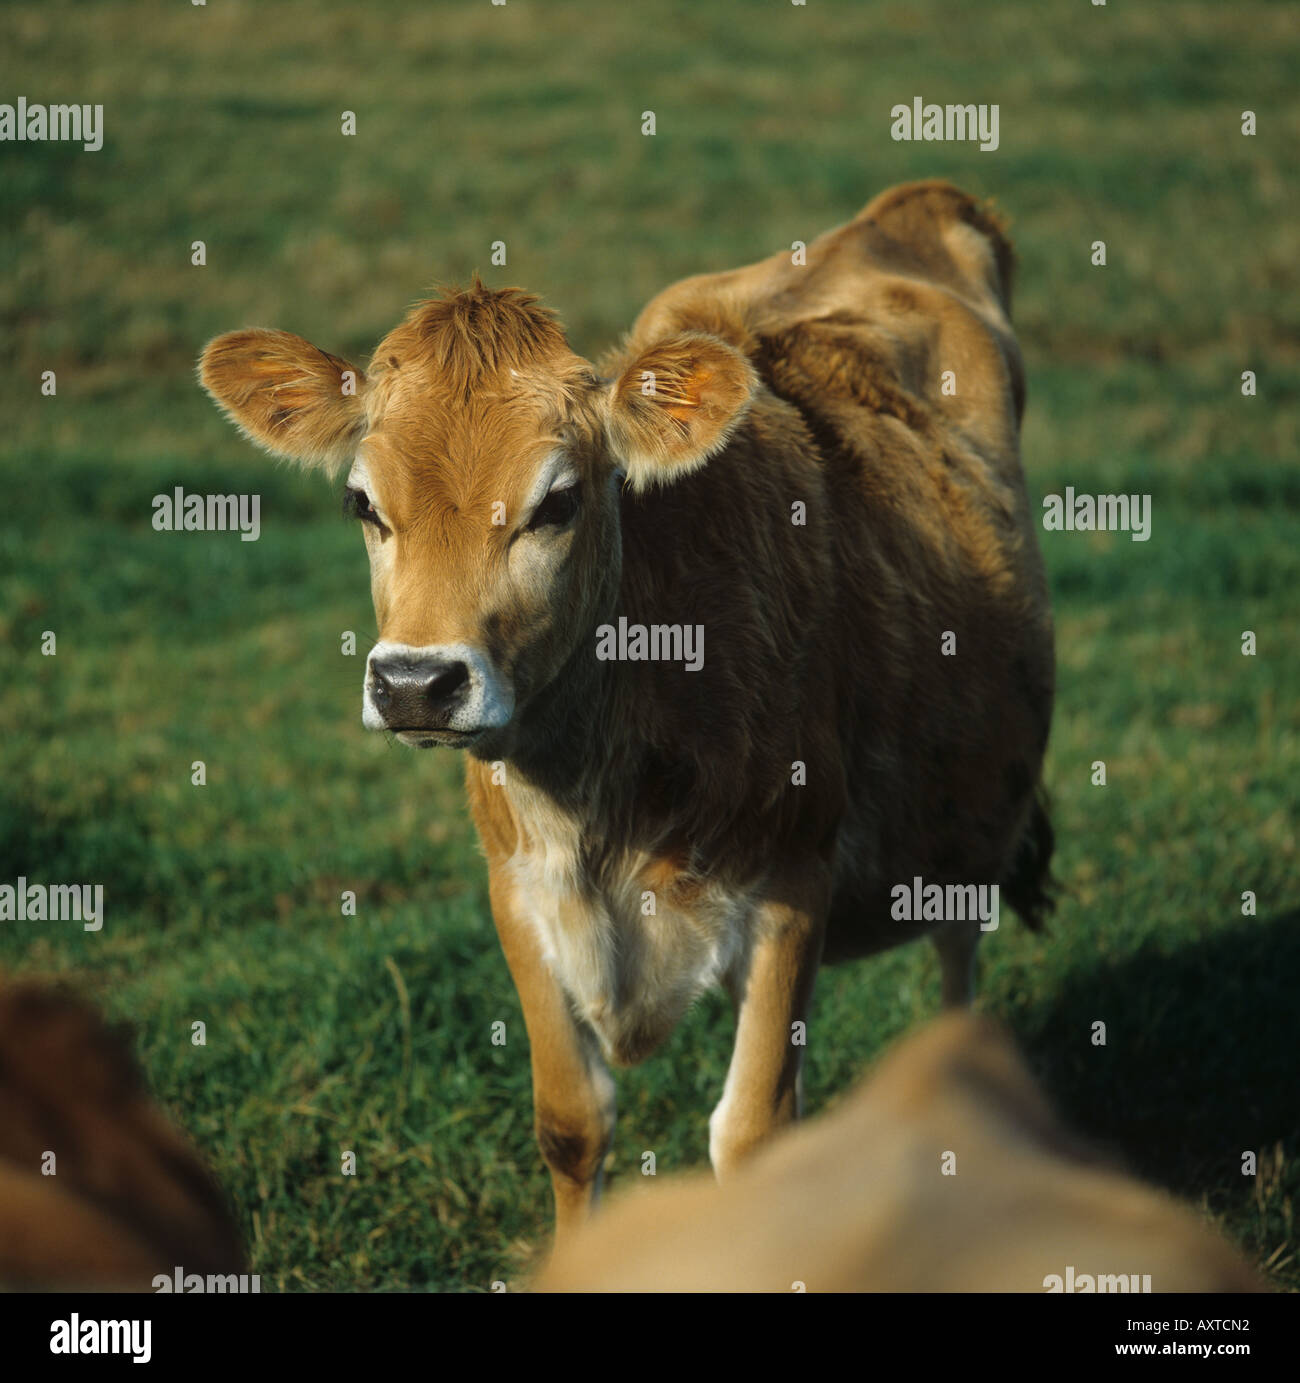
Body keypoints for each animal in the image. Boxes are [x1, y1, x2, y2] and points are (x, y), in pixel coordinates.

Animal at [199, 179, 1056, 1247]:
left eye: (557, 503)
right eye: (362, 502)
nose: (415, 684)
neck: (600, 794)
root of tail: (906, 206)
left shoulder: (795, 878)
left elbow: (751, 1129)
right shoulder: (518, 885)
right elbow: (573, 1122)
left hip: (972, 824)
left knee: (956, 965)